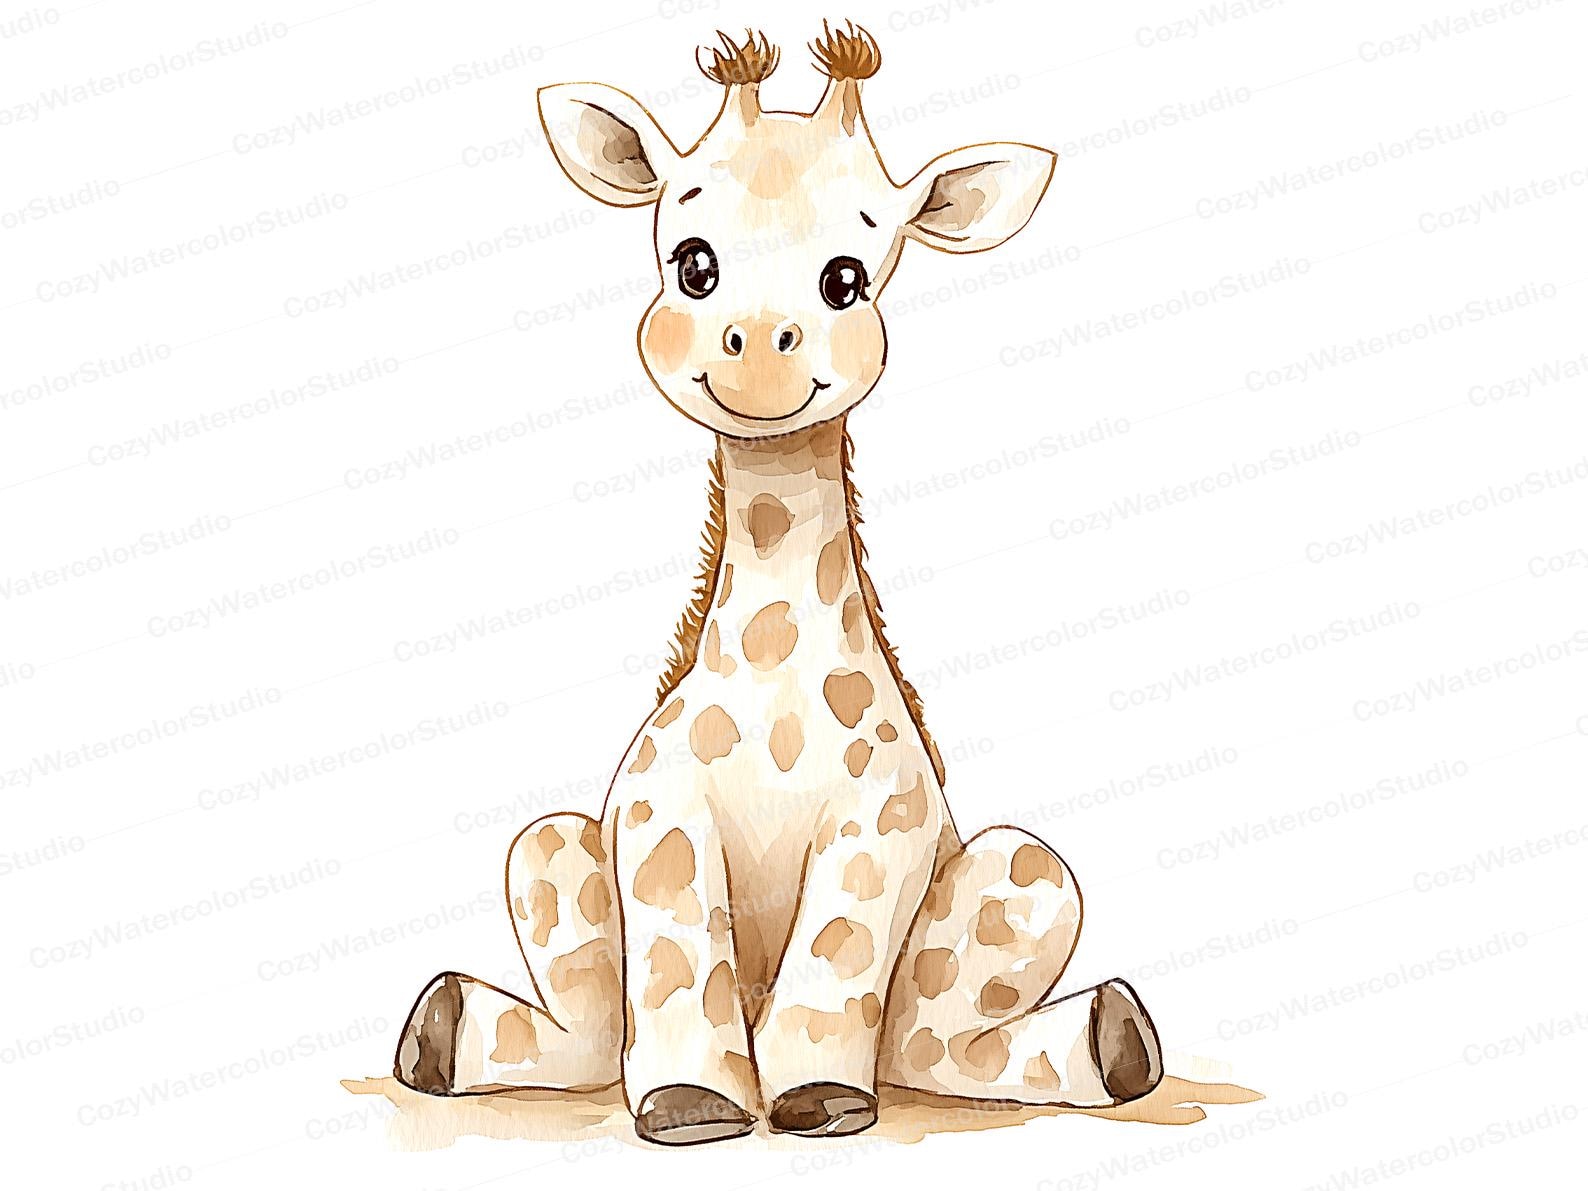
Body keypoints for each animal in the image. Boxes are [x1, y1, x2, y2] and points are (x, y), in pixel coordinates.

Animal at [393, 23, 1165, 1145]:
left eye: (847, 278)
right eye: (693, 261)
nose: (757, 348)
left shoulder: (884, 822)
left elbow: (841, 961)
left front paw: (817, 1101)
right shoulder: (656, 810)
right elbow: (672, 955)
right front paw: (692, 1105)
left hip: (1029, 872)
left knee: (928, 1037)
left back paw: (1119, 1039)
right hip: (554, 846)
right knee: (584, 1014)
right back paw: (437, 1031)